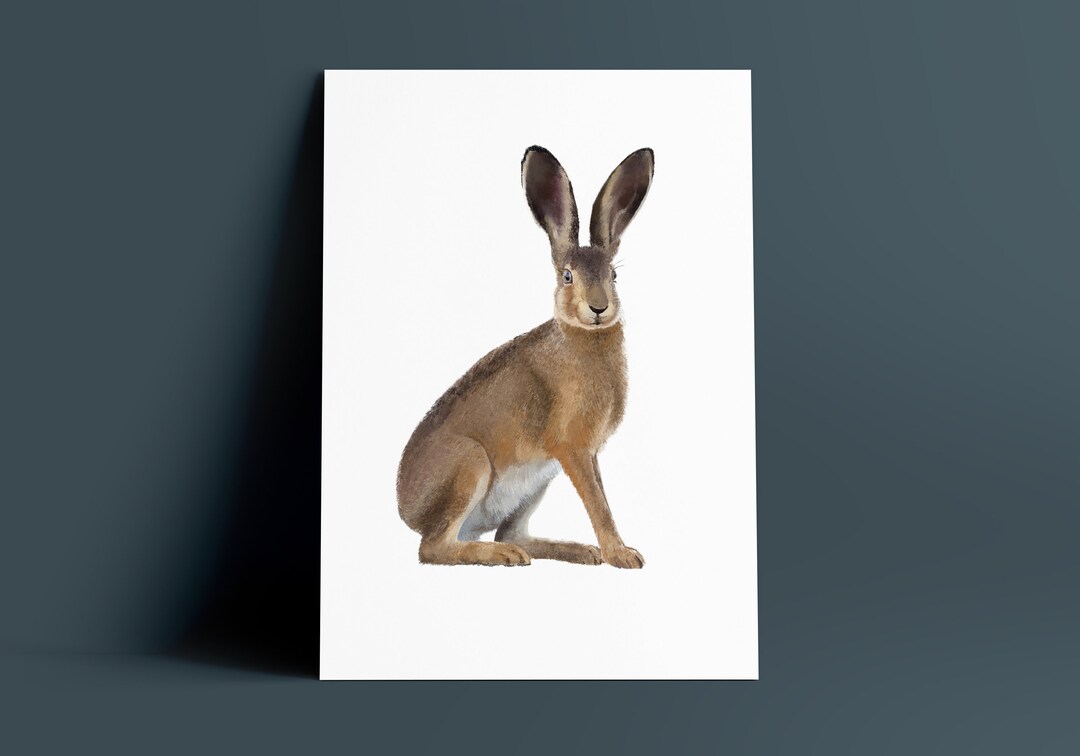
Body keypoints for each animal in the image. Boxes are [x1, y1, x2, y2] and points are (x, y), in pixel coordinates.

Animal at [396, 145, 654, 568]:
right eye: (567, 276)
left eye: (614, 276)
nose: (599, 308)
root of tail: (406, 512)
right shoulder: (573, 448)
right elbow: (598, 503)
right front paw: (622, 556)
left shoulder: (584, 455)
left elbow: (601, 496)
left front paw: (613, 552)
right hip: (470, 466)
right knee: (434, 548)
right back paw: (501, 554)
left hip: (536, 483)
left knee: (512, 532)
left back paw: (573, 550)